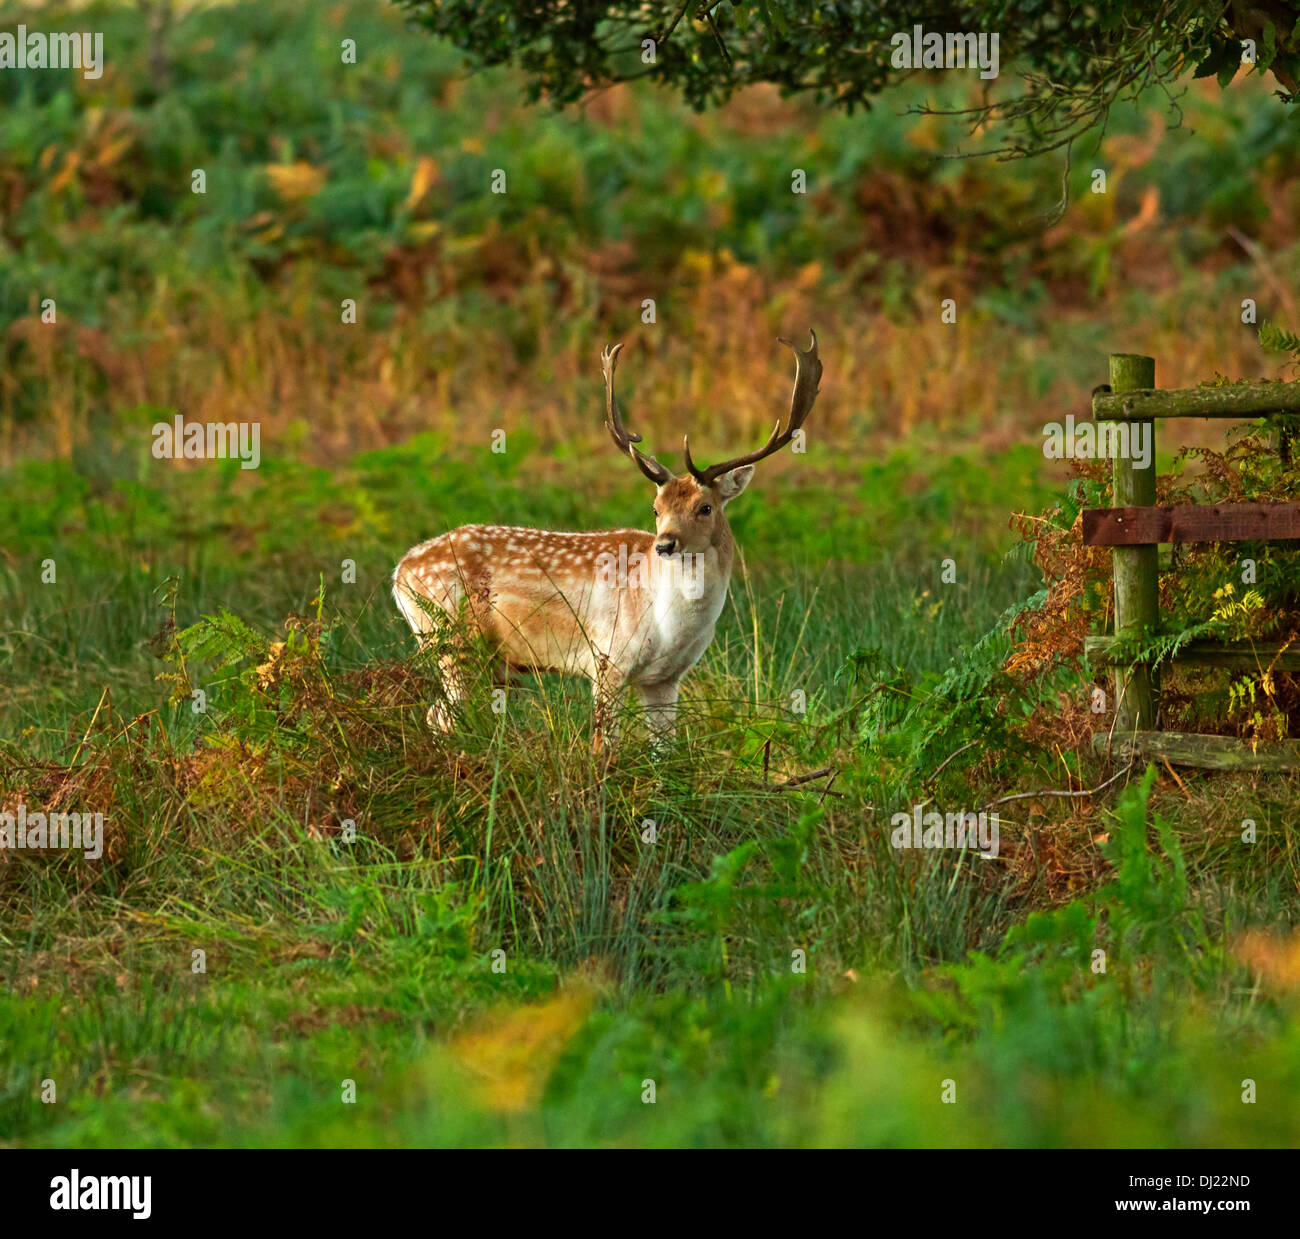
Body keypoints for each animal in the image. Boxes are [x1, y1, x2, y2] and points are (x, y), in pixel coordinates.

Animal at [392, 330, 821, 751]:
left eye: (705, 507)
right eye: (655, 508)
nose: (665, 545)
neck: (669, 623)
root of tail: (400, 572)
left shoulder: (665, 678)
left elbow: (665, 754)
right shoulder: (607, 658)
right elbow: (603, 748)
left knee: (438, 715)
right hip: (450, 641)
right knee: (442, 718)